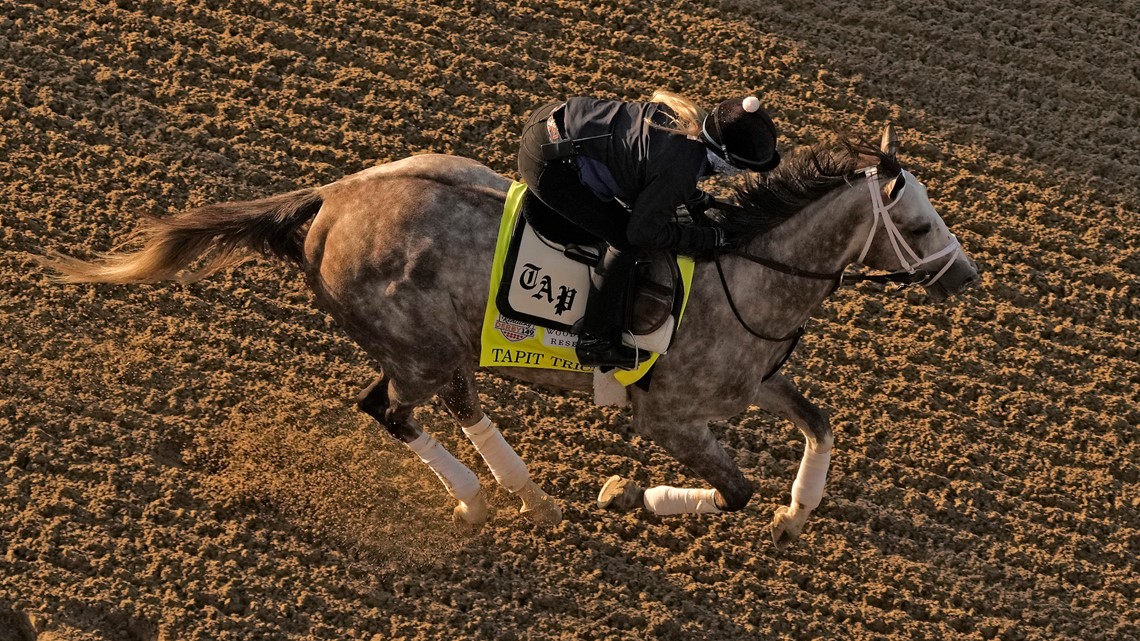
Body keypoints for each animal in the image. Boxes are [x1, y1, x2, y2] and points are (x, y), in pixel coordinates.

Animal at [40, 126, 978, 548]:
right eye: (918, 225)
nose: (967, 275)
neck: (742, 274)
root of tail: (330, 200)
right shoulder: (670, 417)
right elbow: (734, 489)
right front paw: (639, 496)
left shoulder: (751, 382)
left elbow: (820, 422)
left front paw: (803, 502)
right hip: (412, 350)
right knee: (390, 410)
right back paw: (481, 497)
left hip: (445, 343)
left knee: (457, 405)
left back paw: (526, 492)